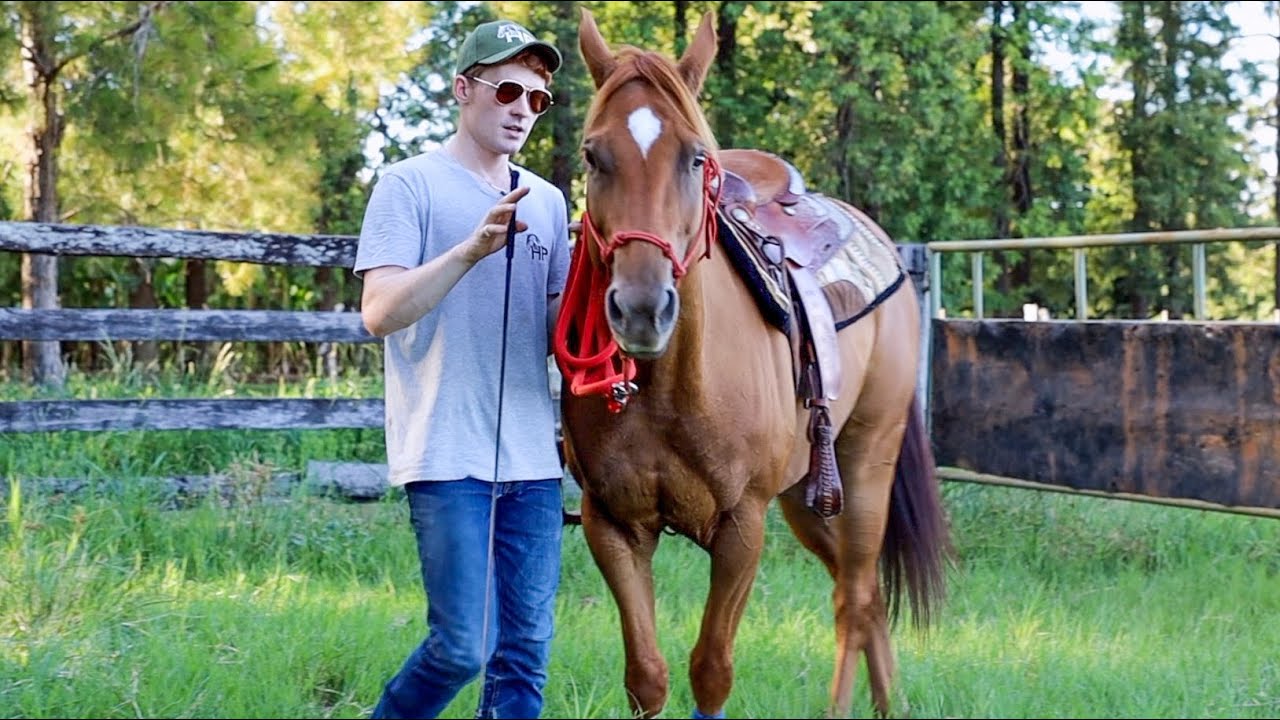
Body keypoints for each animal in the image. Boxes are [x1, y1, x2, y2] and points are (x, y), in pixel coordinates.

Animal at [553, 9, 952, 718]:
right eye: (593, 155)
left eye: (695, 158)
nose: (641, 307)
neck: (676, 388)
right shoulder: (613, 524)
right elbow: (647, 675)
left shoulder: (742, 527)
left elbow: (712, 669)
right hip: (809, 495)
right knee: (866, 594)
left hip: (865, 466)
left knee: (854, 598)